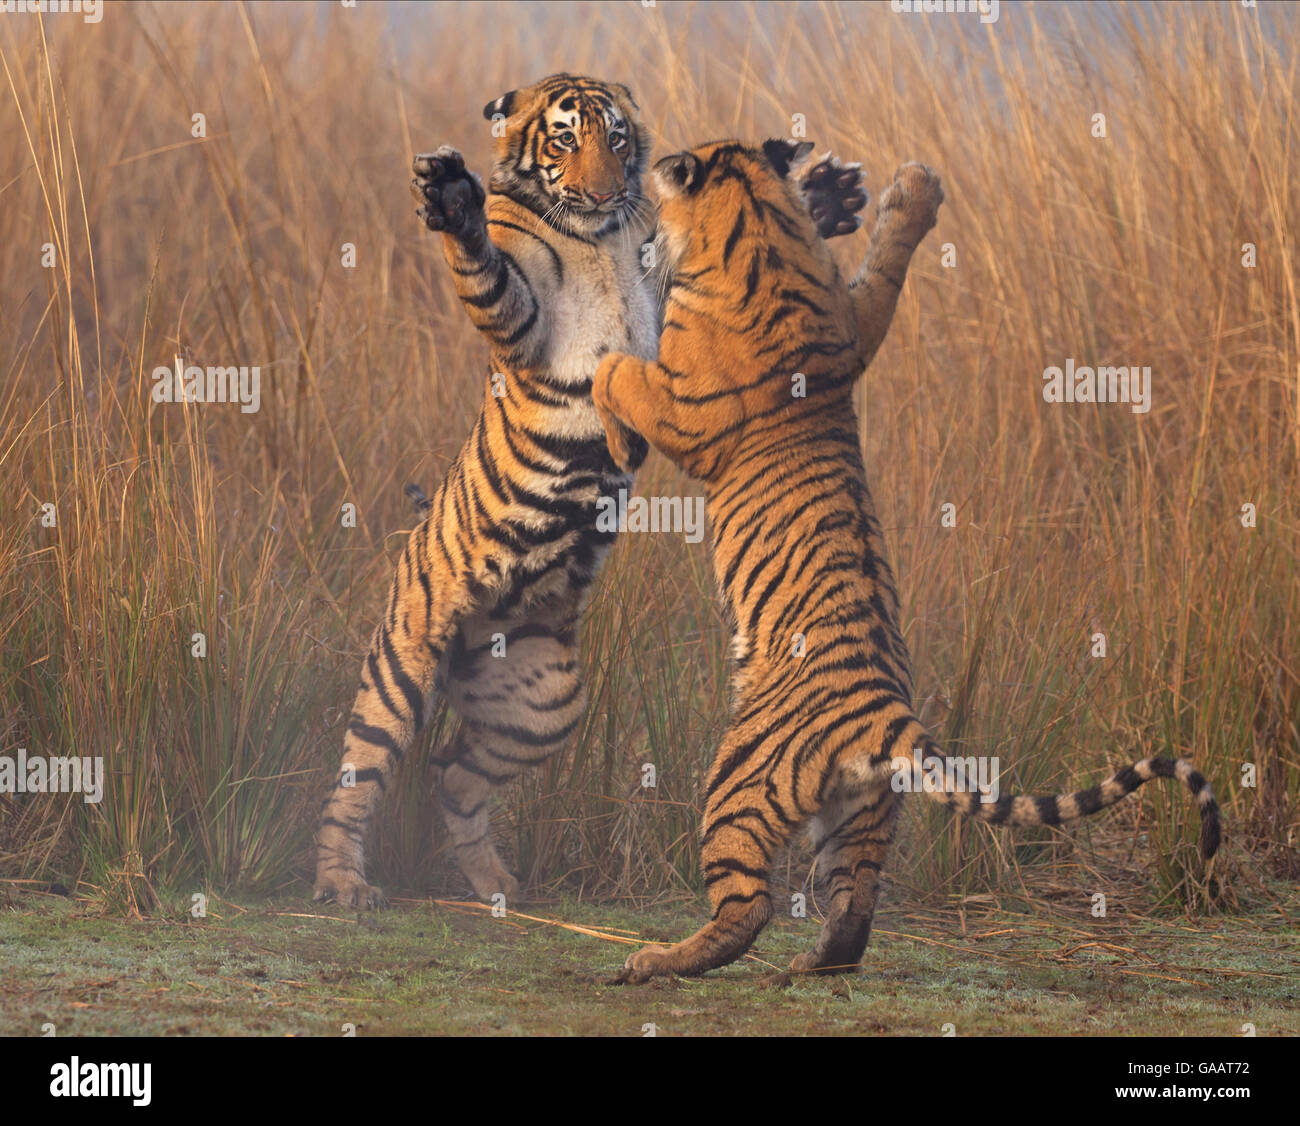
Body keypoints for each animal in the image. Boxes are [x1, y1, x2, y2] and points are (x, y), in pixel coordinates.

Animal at [313, 75, 869, 909]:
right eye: (563, 139)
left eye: (615, 139)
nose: (607, 193)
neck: (598, 239)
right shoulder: (527, 328)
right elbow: (486, 273)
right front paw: (451, 196)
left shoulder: (660, 315)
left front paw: (828, 196)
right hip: (404, 661)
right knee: (355, 778)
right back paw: (341, 882)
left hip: (545, 701)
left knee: (453, 777)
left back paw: (496, 886)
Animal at [591, 140, 1222, 980]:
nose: (643, 186)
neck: (759, 226)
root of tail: (886, 713)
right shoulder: (855, 323)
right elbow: (885, 270)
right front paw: (908, 192)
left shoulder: (682, 406)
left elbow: (617, 373)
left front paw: (610, 399)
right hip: (857, 815)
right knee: (854, 909)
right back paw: (810, 964)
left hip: (739, 782)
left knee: (747, 907)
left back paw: (656, 961)